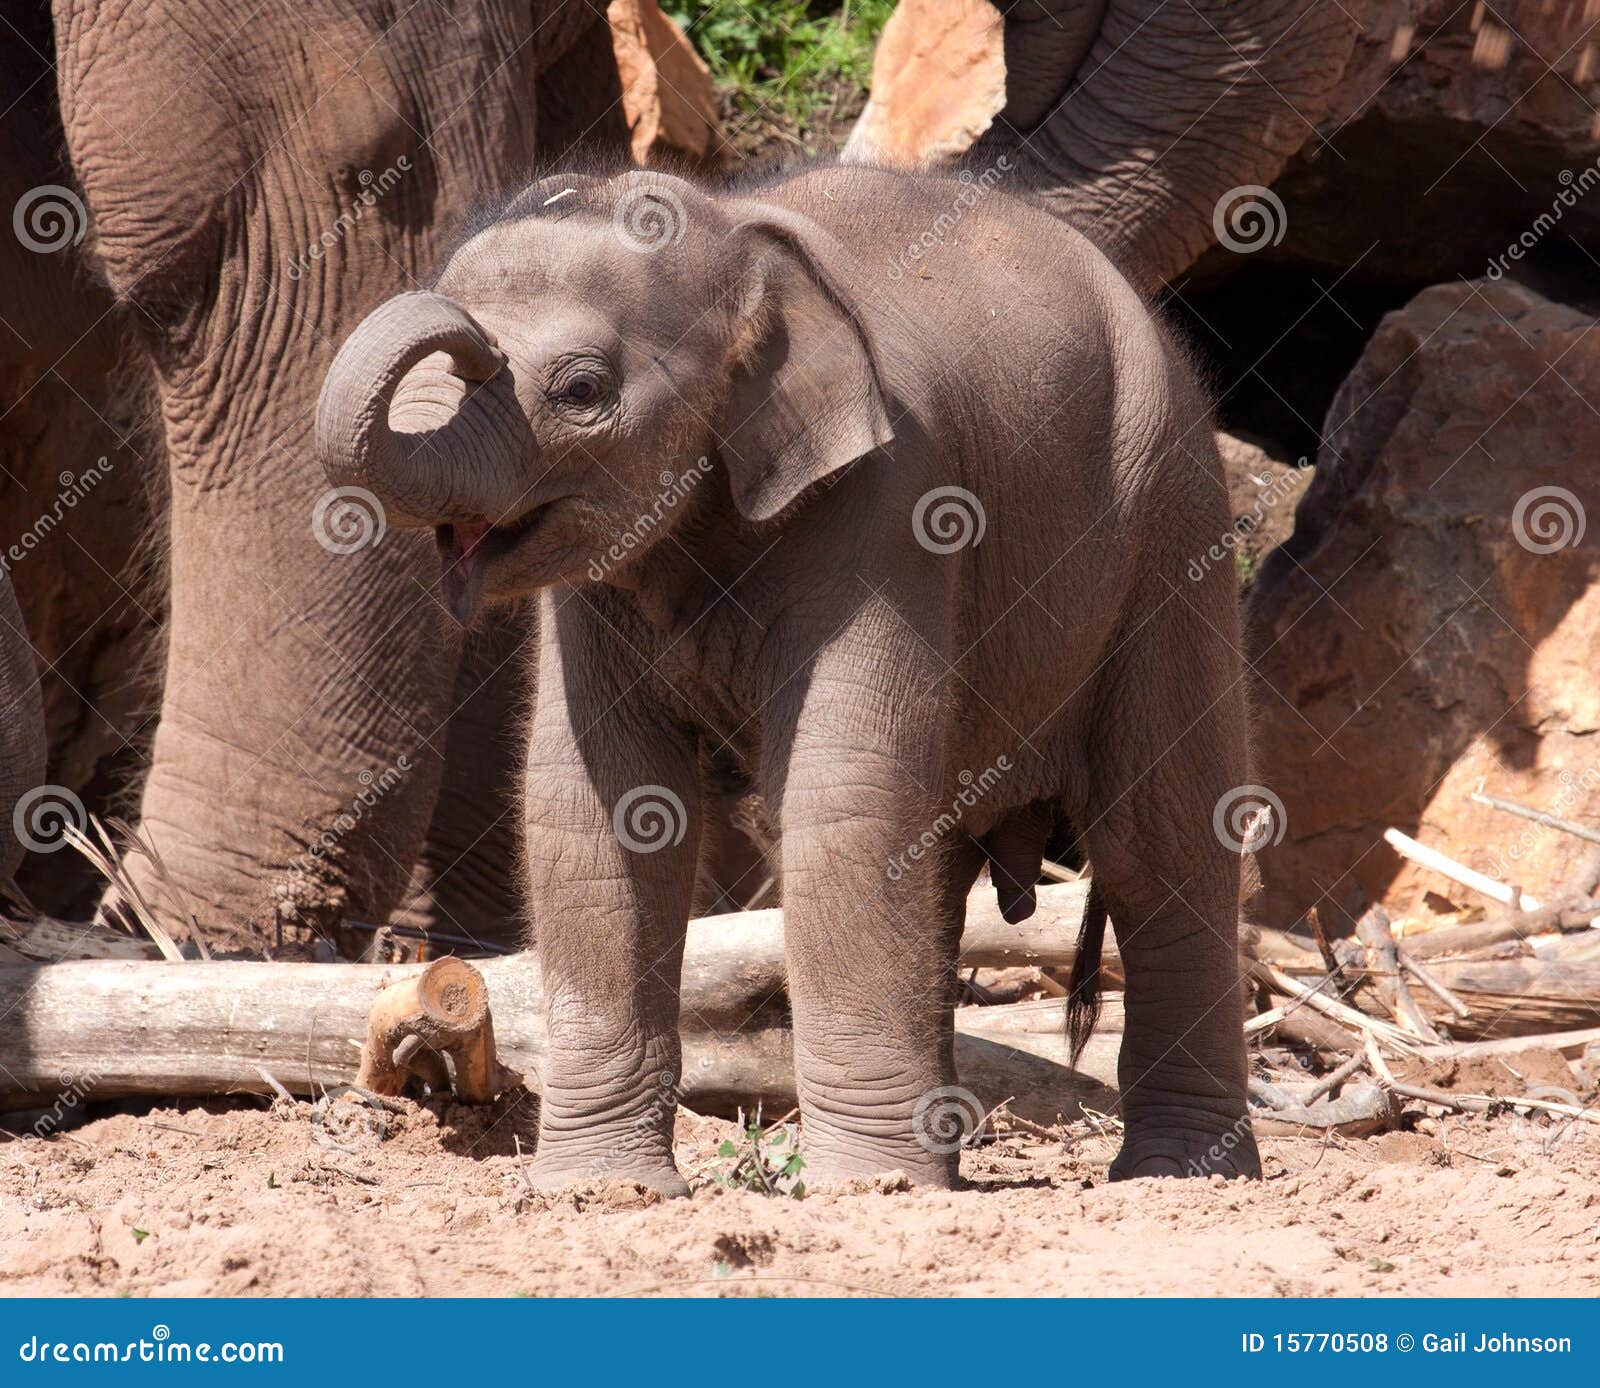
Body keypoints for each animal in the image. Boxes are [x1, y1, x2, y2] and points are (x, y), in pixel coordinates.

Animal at [316, 163, 1260, 1191]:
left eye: (581, 389)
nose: (461, 330)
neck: (739, 240)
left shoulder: (892, 505)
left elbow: (840, 794)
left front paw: (861, 1189)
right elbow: (594, 808)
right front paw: (605, 1190)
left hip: (1170, 519)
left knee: (1159, 839)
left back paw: (1183, 1175)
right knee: (944, 866)